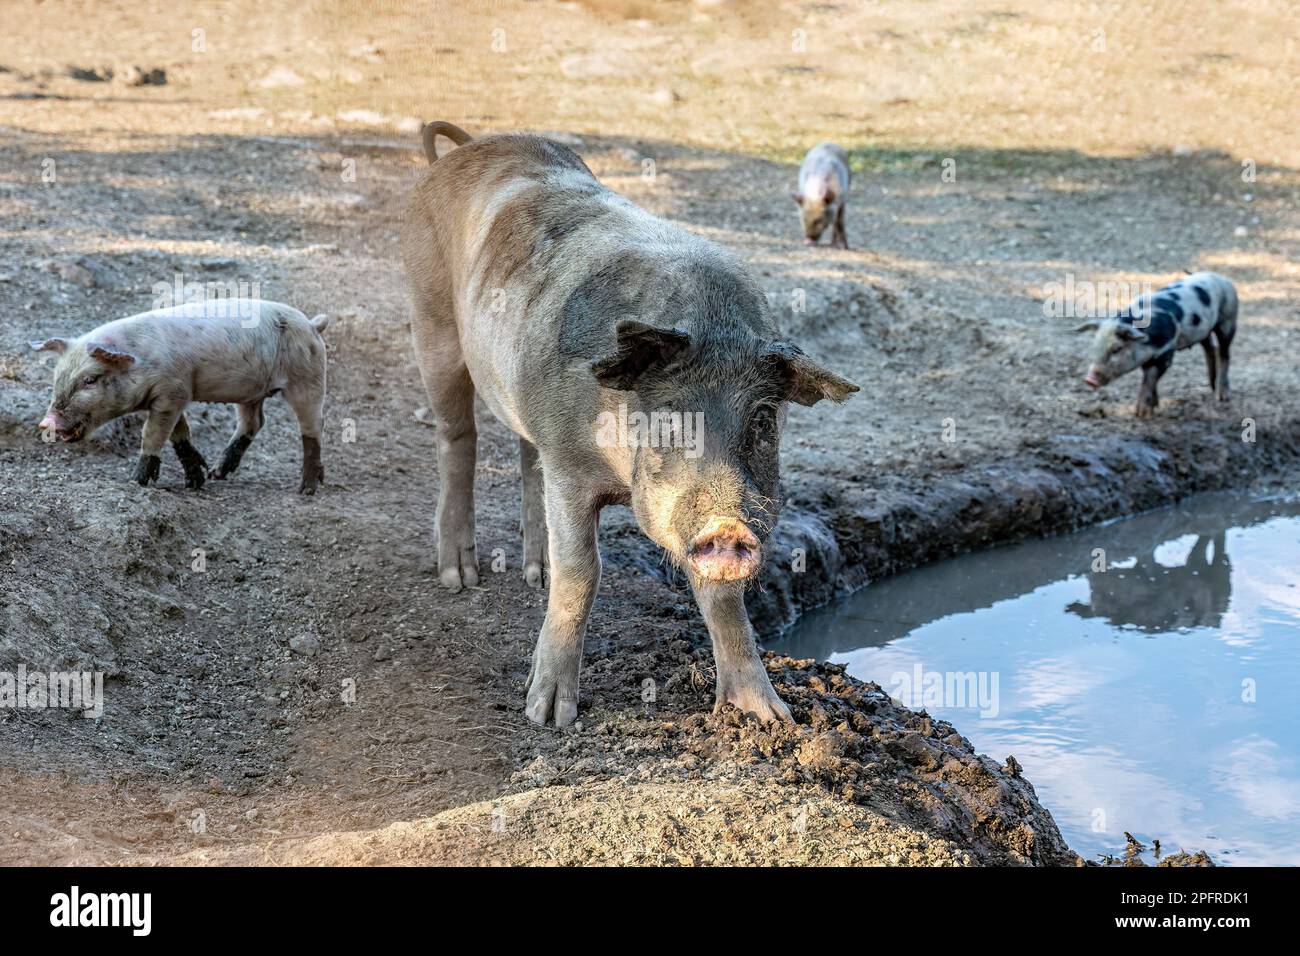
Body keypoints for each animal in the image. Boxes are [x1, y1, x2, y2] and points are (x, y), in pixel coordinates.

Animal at [30, 298, 329, 493]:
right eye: (56, 378)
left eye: (90, 380)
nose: (46, 422)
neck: (143, 360)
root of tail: (312, 324)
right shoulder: (173, 395)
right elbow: (179, 432)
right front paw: (196, 482)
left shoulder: (172, 391)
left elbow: (153, 434)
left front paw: (135, 482)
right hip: (251, 394)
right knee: (253, 422)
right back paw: (217, 473)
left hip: (308, 378)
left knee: (313, 427)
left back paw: (306, 489)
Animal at [402, 121, 860, 727]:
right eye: (671, 417)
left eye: (763, 417)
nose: (728, 526)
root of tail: (468, 149)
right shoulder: (568, 466)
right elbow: (582, 573)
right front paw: (549, 715)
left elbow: (724, 601)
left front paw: (770, 719)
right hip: (430, 321)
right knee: (457, 438)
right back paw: (459, 577)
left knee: (524, 457)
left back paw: (534, 573)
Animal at [1074, 272, 1237, 417]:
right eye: (1095, 347)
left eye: (1117, 349)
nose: (1089, 379)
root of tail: (1222, 278)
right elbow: (1148, 377)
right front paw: (1154, 406)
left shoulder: (1166, 351)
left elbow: (1150, 378)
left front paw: (1141, 413)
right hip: (1203, 330)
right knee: (1211, 347)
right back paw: (1212, 386)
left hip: (1228, 319)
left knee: (1224, 352)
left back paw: (1222, 396)